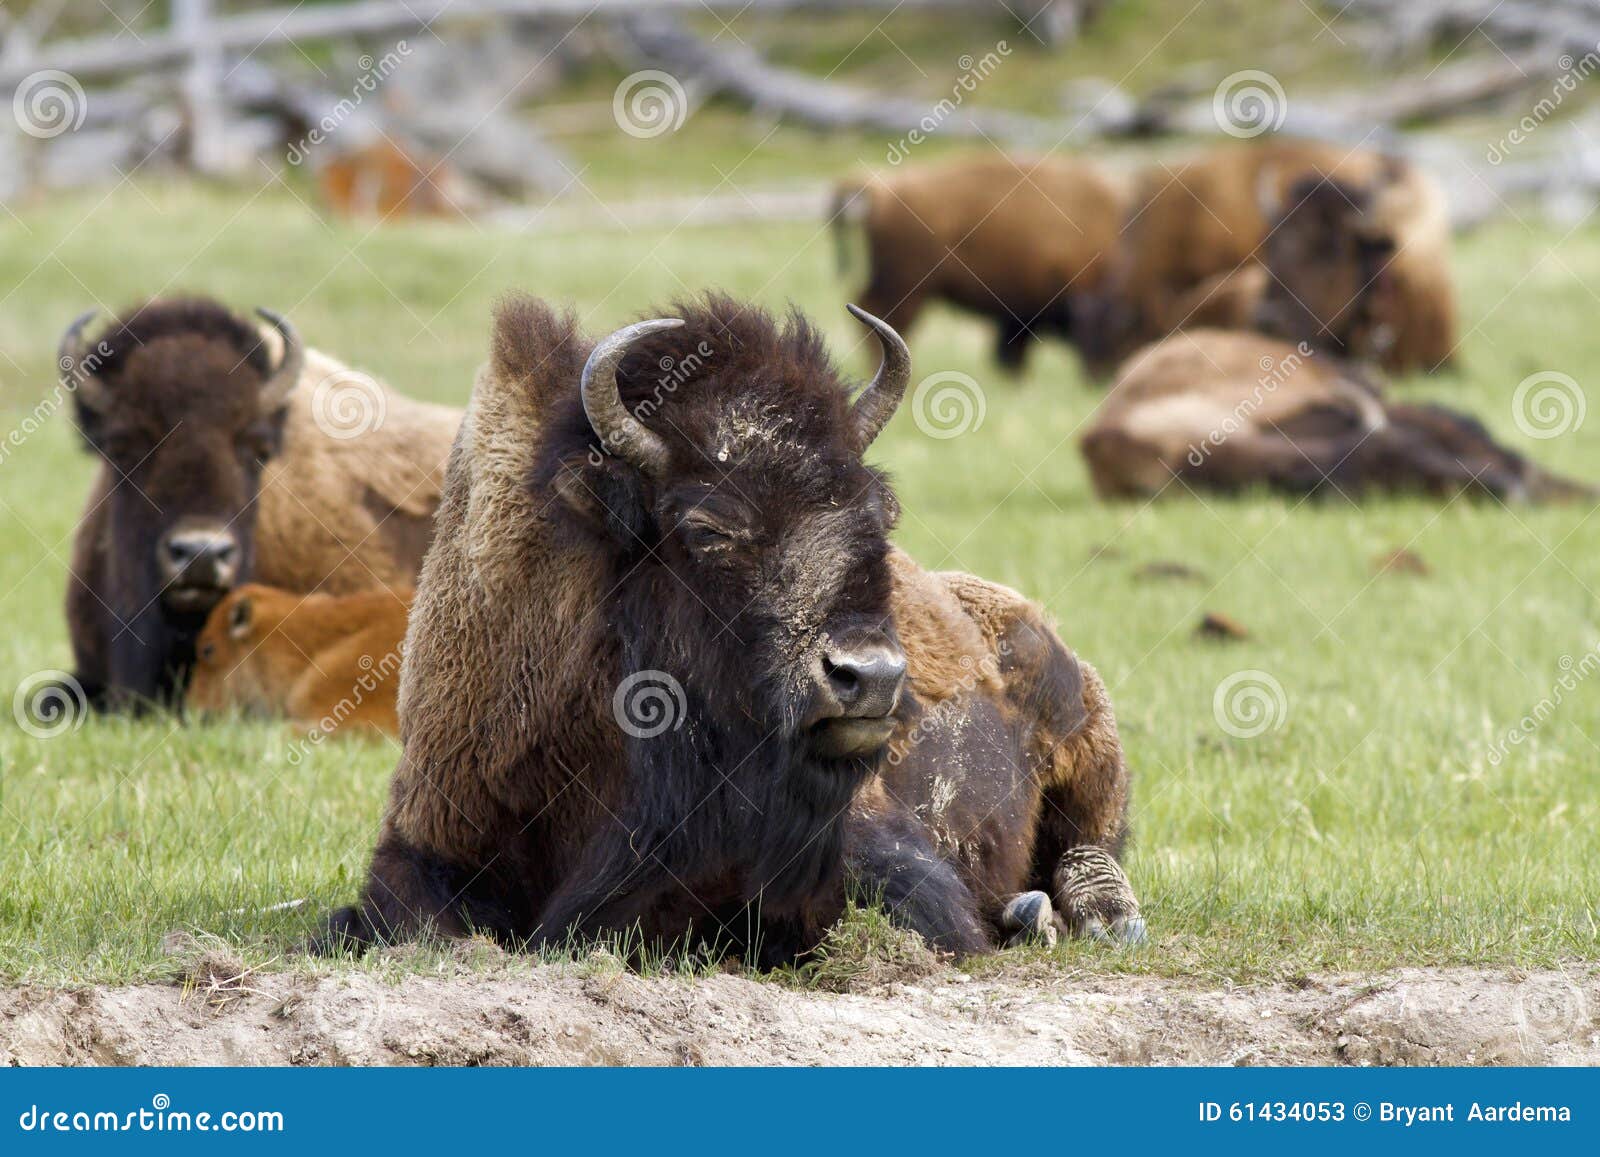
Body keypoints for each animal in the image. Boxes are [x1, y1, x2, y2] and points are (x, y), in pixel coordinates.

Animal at [326, 294, 1141, 963]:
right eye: (707, 528)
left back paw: (1079, 917)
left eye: (877, 511)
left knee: (1089, 847)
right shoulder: (426, 837)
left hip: (1092, 759)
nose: (870, 676)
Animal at [832, 155, 1126, 370]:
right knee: (884, 316)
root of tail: (879, 191)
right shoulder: (1022, 314)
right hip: (907, 288)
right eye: (1110, 327)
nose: (1104, 375)